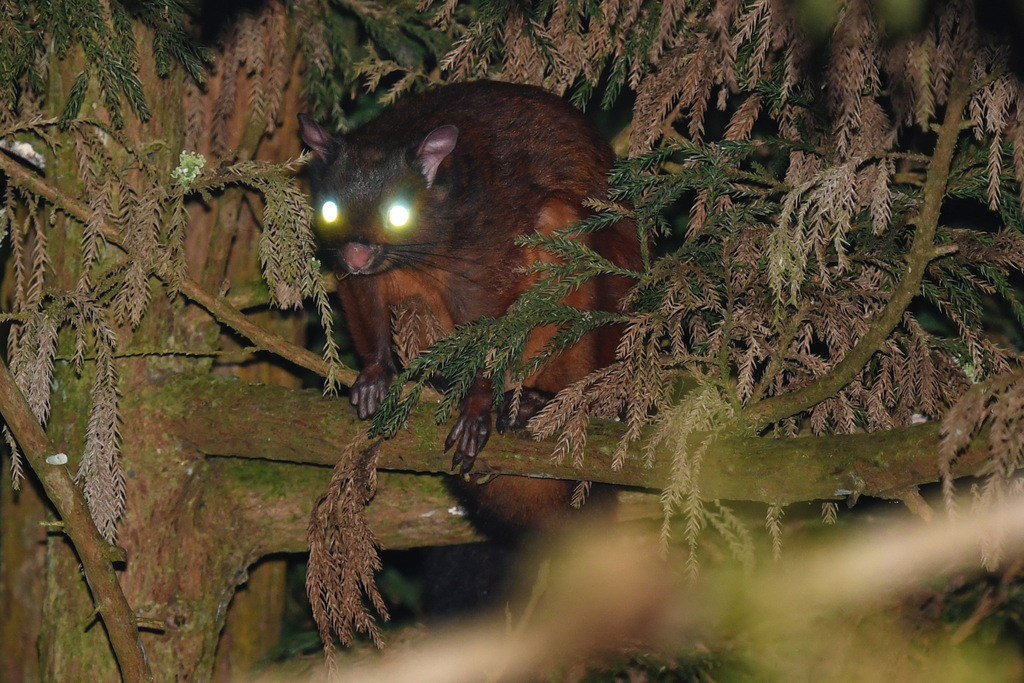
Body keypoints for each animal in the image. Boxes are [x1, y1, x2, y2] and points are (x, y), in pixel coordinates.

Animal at [298, 81, 640, 533]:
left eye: (397, 213)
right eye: (331, 210)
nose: (356, 254)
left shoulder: (484, 249)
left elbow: (488, 320)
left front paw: (477, 407)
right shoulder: (361, 272)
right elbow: (362, 295)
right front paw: (374, 376)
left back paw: (536, 401)